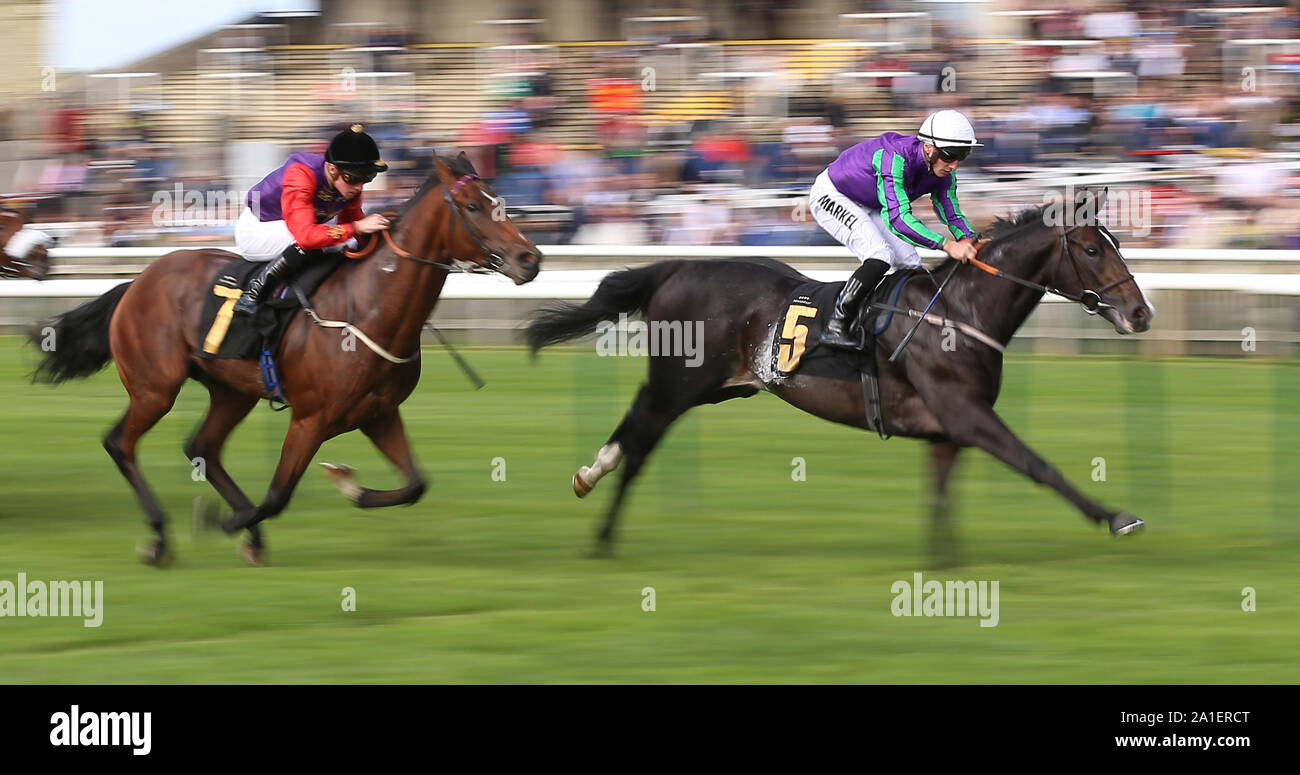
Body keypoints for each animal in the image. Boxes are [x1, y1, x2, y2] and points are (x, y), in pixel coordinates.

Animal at [32, 152, 541, 565]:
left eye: (500, 200)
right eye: (472, 207)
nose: (530, 259)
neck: (369, 307)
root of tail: (136, 282)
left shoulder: (378, 413)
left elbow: (416, 485)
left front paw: (347, 483)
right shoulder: (311, 418)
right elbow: (278, 495)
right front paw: (224, 522)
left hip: (231, 390)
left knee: (202, 446)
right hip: (156, 387)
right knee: (121, 442)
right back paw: (160, 536)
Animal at [526, 190, 1153, 560]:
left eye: (1117, 241)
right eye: (1093, 249)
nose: (1141, 313)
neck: (961, 312)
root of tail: (676, 265)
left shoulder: (948, 430)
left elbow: (940, 495)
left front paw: (944, 564)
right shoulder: (968, 415)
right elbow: (1039, 465)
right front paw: (1116, 517)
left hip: (711, 388)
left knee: (636, 426)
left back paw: (589, 480)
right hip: (680, 382)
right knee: (640, 442)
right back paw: (602, 529)